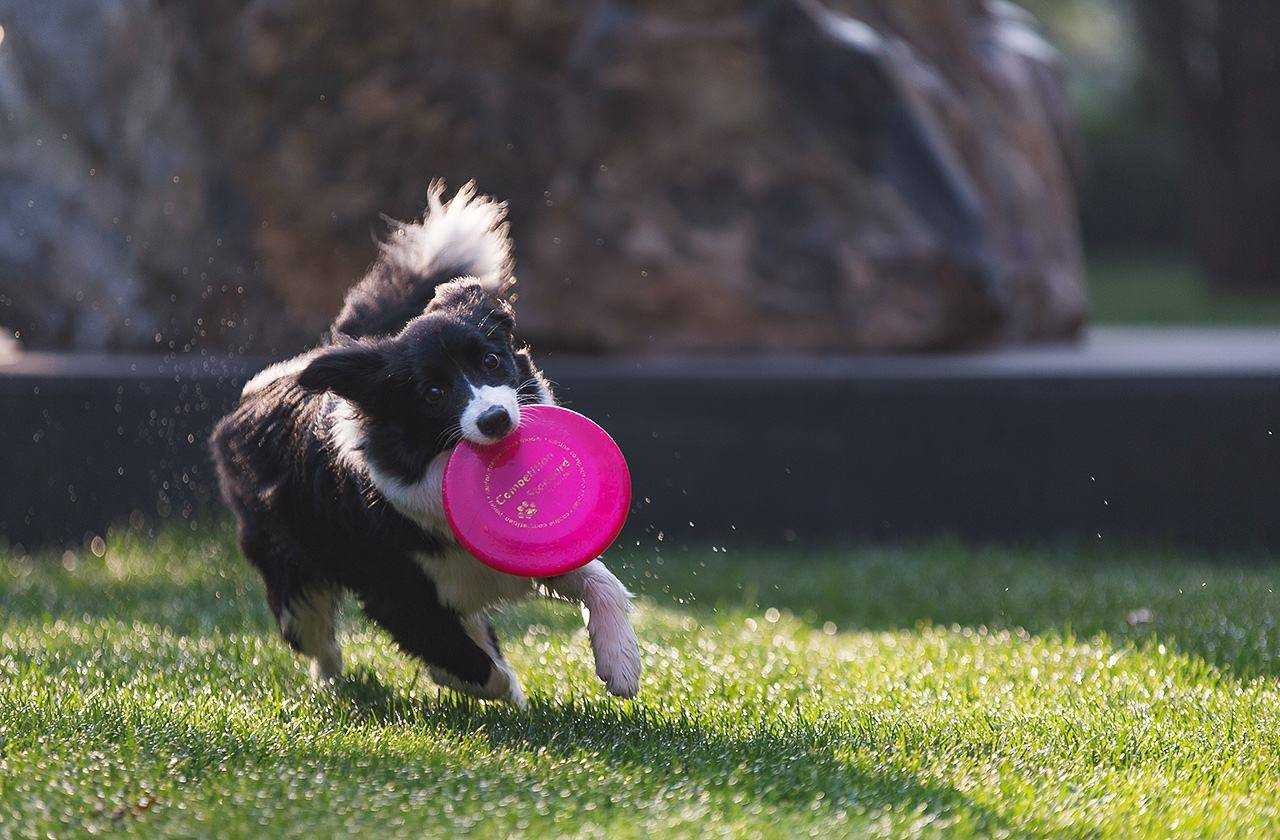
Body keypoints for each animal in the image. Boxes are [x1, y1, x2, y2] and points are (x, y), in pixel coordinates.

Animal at [213, 181, 645, 701]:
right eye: (433, 394)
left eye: (491, 361)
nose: (496, 420)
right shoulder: (396, 592)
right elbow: (468, 661)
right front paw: (489, 686)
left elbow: (601, 580)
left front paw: (621, 663)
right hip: (291, 568)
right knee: (314, 633)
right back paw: (331, 682)